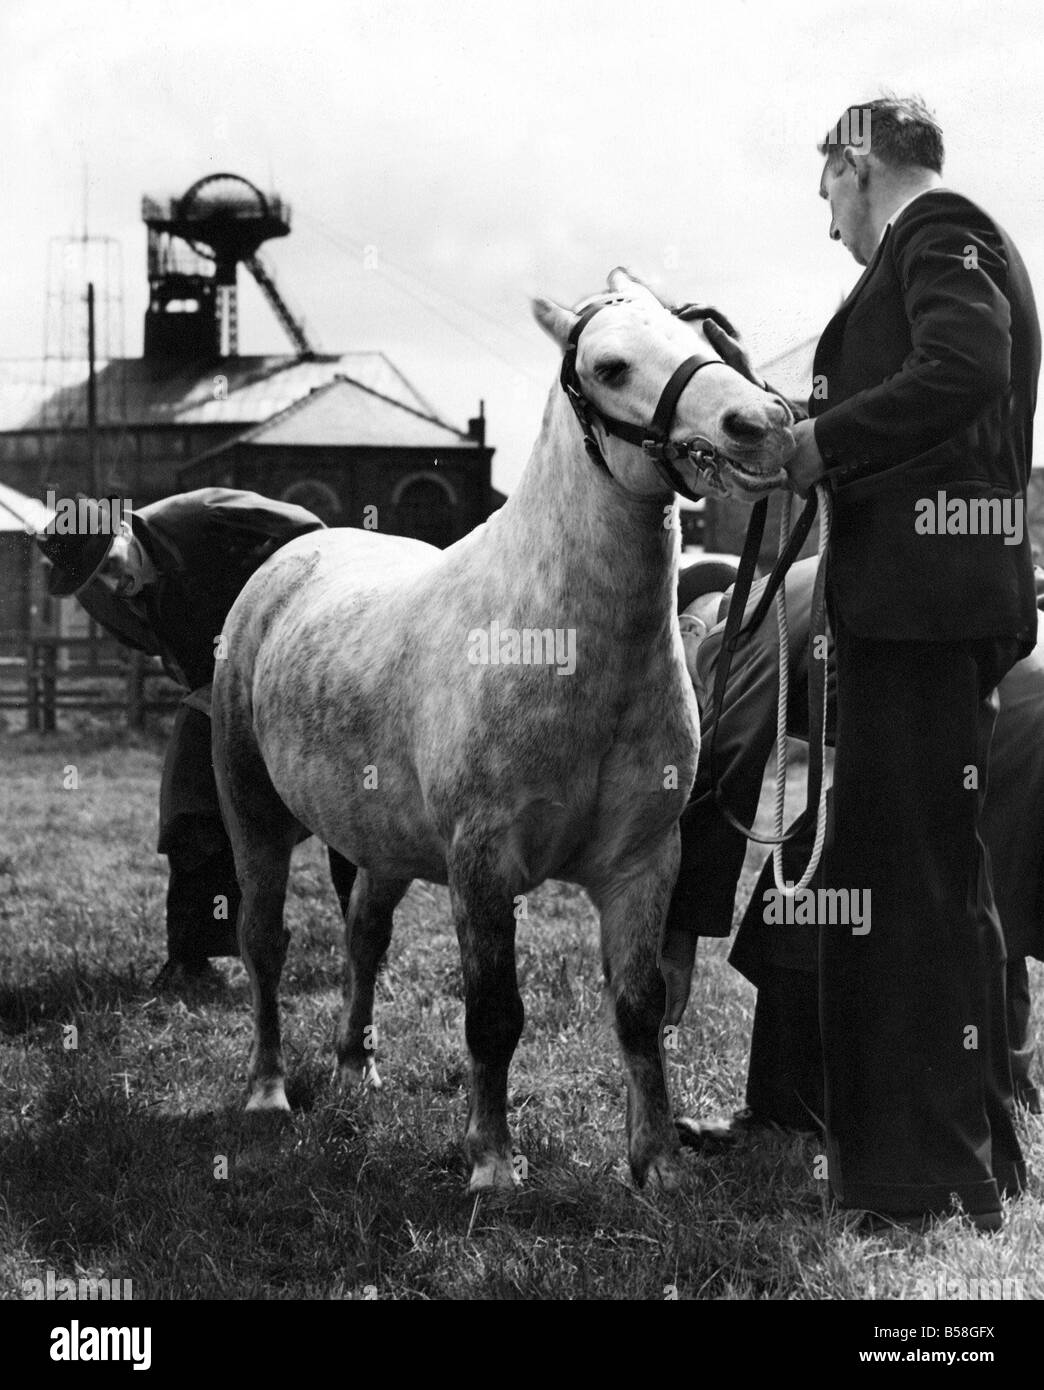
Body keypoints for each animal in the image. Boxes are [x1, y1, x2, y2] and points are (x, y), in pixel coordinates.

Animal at [211, 267, 794, 1191]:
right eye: (610, 366)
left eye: (704, 338)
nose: (761, 424)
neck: (566, 647)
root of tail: (293, 557)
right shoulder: (482, 865)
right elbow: (492, 1013)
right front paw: (491, 1163)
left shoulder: (641, 864)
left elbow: (639, 1010)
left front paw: (657, 1164)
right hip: (255, 818)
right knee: (264, 943)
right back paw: (268, 1091)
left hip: (385, 845)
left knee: (364, 935)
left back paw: (356, 1066)